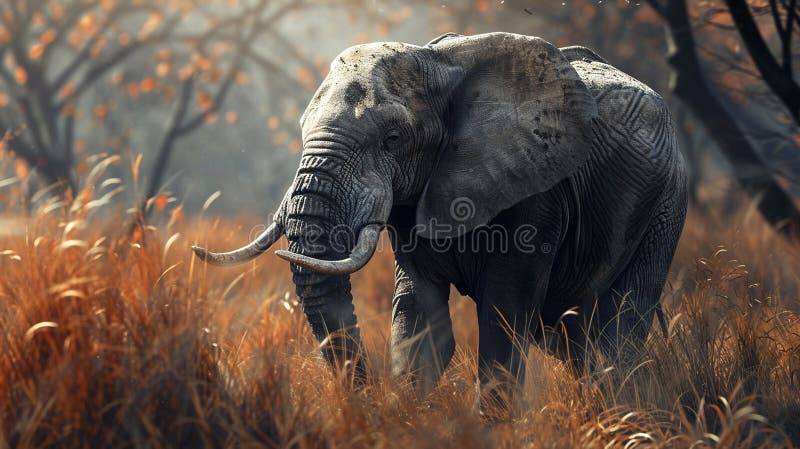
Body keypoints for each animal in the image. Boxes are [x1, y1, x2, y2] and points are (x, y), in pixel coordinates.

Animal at [192, 32, 688, 412]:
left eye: (392, 139)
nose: (362, 401)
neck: (436, 60)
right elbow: (420, 317)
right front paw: (409, 418)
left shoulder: (538, 192)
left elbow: (503, 314)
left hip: (668, 204)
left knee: (619, 326)